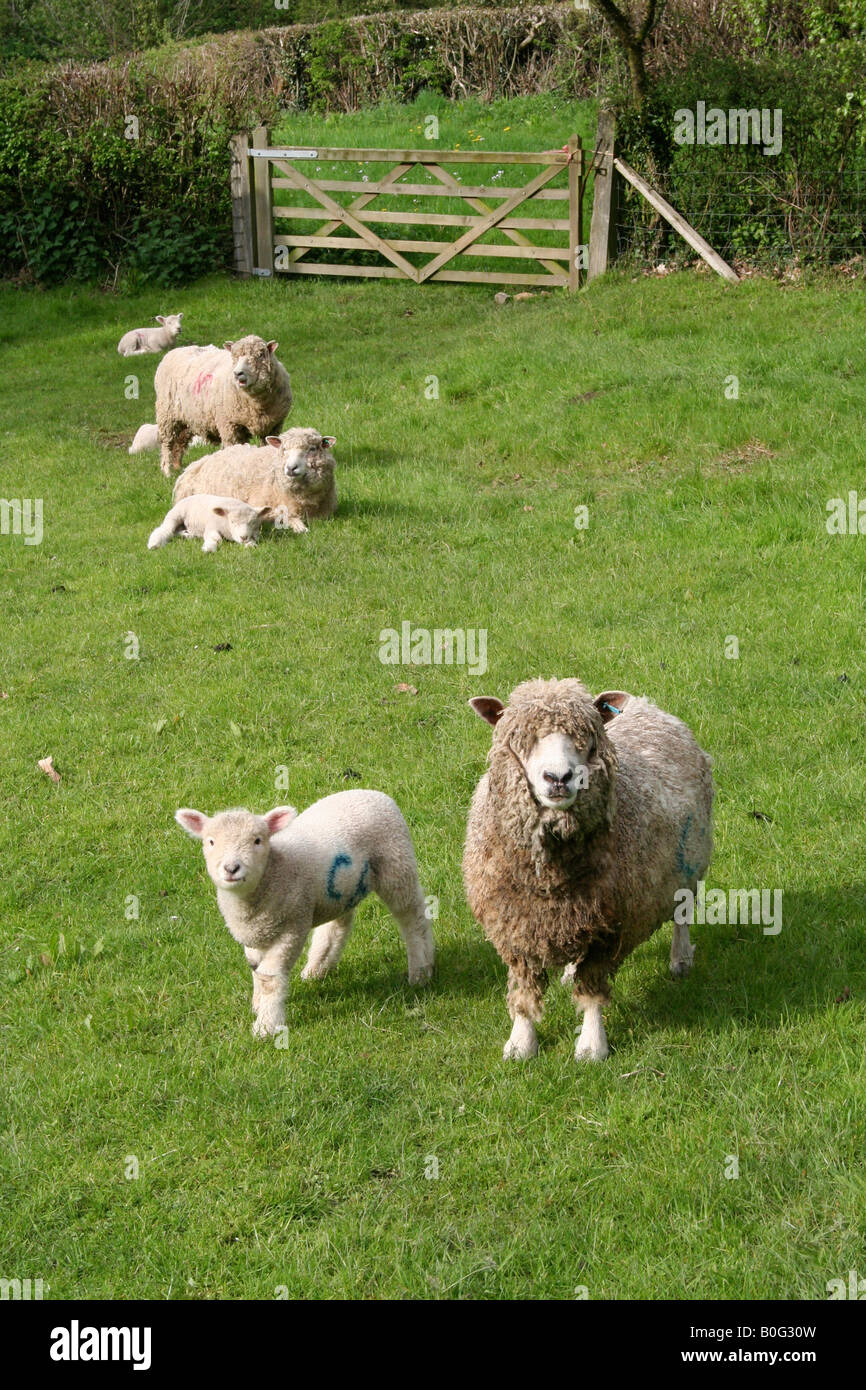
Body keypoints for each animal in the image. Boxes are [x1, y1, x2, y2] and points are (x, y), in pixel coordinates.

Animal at [154, 336, 292, 476]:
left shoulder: (273, 426)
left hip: (187, 419)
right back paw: (167, 472)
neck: (257, 405)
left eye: (260, 355)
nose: (237, 373)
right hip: (166, 414)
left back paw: (177, 466)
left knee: (180, 442)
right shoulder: (229, 426)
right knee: (166, 444)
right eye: (234, 356)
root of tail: (176, 350)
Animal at [172, 428, 337, 533]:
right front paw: (300, 528)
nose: (291, 468)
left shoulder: (325, 514)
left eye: (312, 449)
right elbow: (290, 519)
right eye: (284, 450)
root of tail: (202, 460)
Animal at [175, 790, 435, 1037]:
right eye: (210, 841)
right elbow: (256, 970)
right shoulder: (255, 934)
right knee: (338, 925)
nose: (231, 868)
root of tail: (374, 793)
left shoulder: (292, 926)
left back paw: (421, 971)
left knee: (414, 919)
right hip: (339, 889)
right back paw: (317, 969)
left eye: (258, 840)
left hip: (397, 866)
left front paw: (266, 1026)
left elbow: (269, 978)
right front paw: (258, 1005)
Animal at [462, 678, 713, 1064]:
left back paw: (681, 958)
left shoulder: (608, 932)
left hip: (687, 867)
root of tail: (647, 704)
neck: (550, 880)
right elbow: (524, 991)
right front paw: (521, 1043)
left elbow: (593, 991)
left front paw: (592, 1046)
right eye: (521, 740)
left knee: (681, 914)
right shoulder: (516, 927)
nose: (558, 777)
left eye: (588, 740)